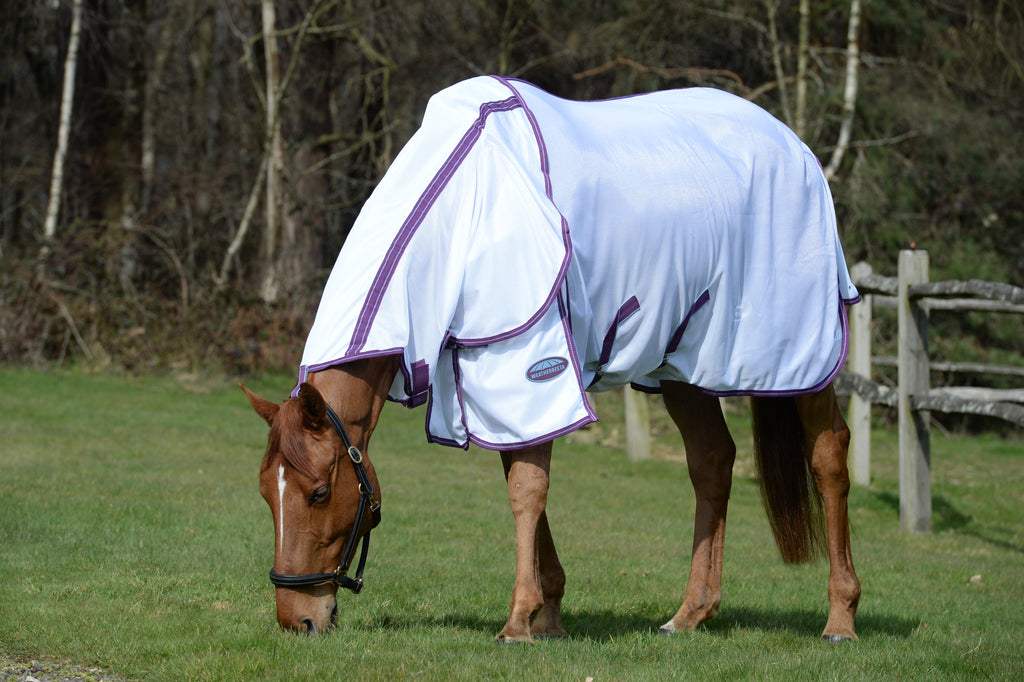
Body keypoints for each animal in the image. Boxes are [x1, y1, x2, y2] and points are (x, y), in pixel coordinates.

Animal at [243, 76, 862, 642]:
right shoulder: (498, 386)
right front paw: (548, 615)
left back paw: (840, 617)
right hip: (685, 367)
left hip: (800, 357)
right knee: (712, 462)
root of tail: (795, 146)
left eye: (319, 493)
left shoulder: (532, 364)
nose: (297, 620)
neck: (462, 209)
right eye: (265, 491)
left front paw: (519, 621)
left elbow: (526, 490)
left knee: (829, 455)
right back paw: (690, 614)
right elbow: (524, 481)